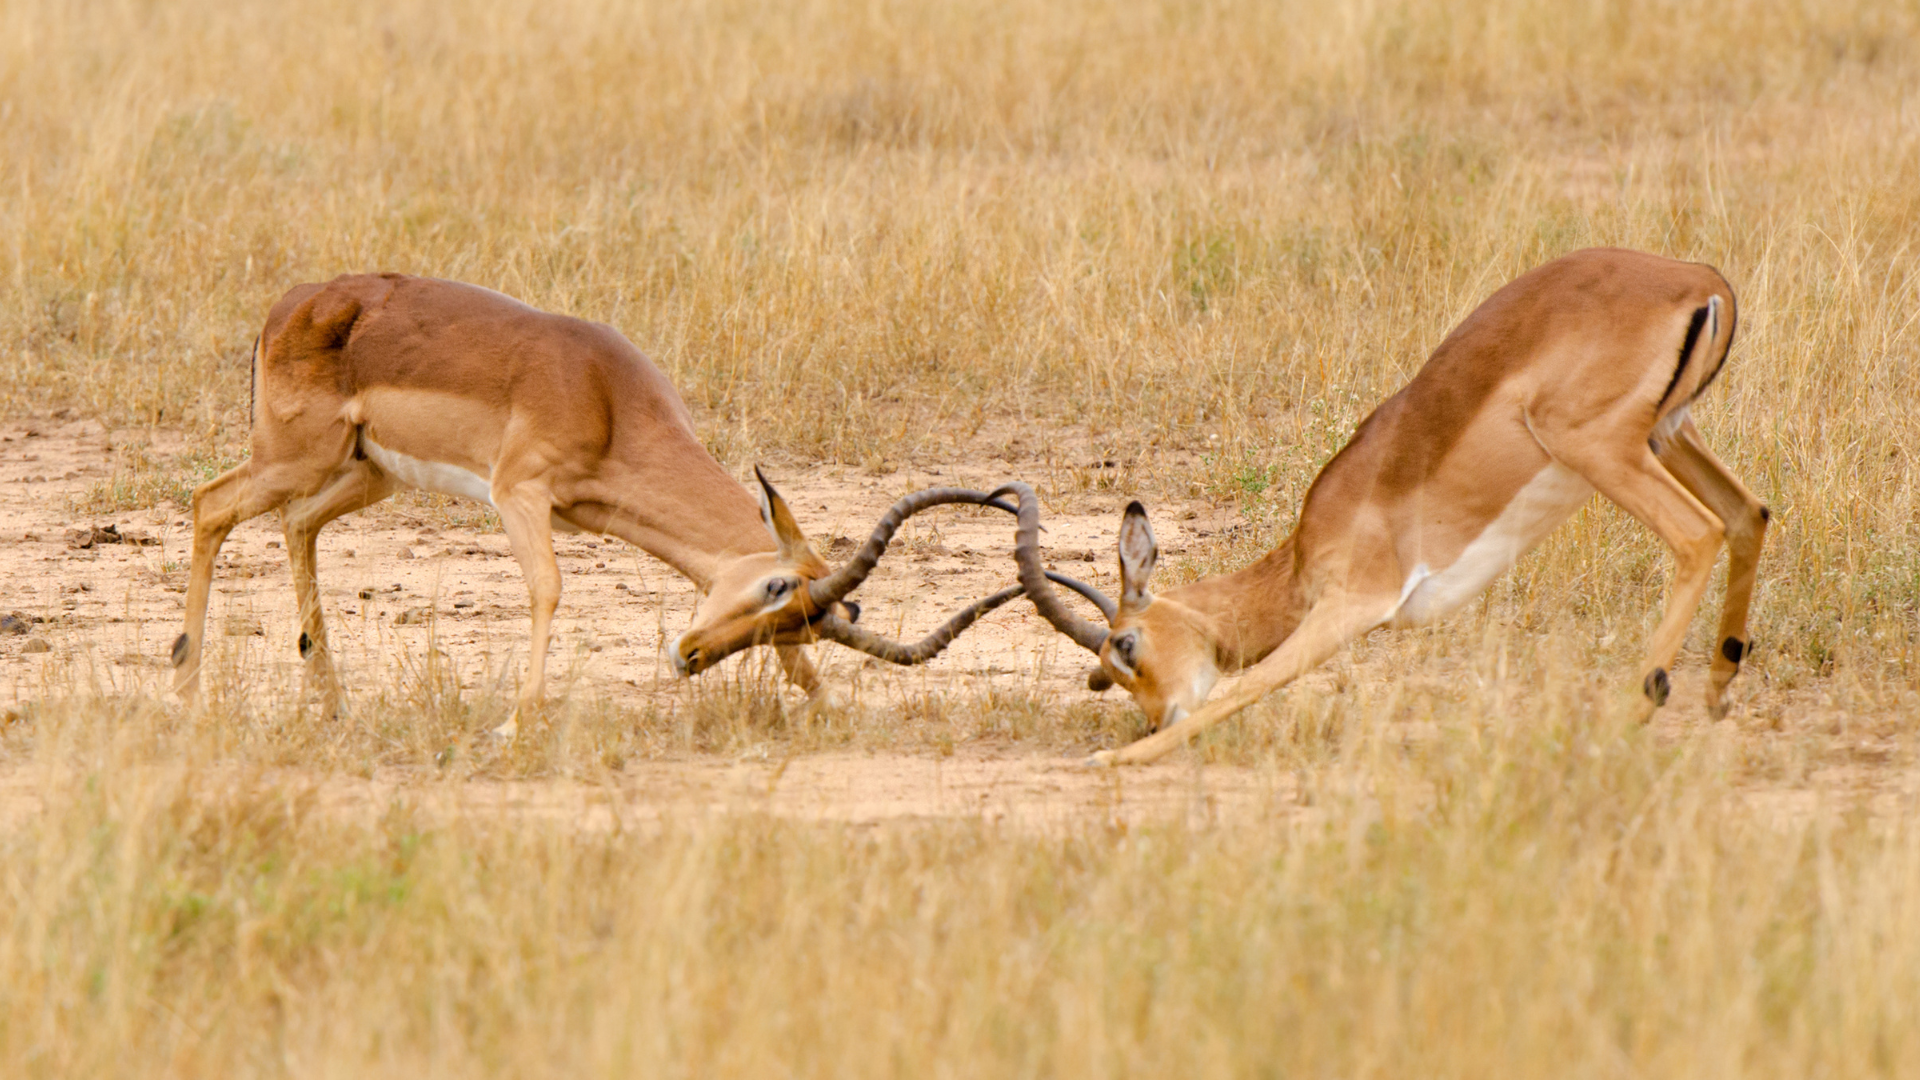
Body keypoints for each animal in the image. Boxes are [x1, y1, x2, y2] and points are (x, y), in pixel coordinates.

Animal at [173, 273, 1029, 734]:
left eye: (795, 624)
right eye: (774, 585)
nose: (689, 657)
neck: (605, 396)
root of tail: (294, 301)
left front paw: (826, 704)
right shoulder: (519, 494)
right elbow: (549, 590)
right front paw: (516, 720)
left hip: (367, 472)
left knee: (294, 523)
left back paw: (330, 698)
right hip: (293, 458)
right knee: (209, 503)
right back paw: (186, 687)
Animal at [1014, 248, 1769, 765]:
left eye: (1126, 647)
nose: (1155, 720)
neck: (1302, 558)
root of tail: (1700, 280)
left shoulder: (1352, 603)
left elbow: (1249, 685)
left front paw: (1111, 759)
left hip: (1604, 449)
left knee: (1698, 533)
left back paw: (1635, 707)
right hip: (1667, 435)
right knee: (1749, 512)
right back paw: (1718, 688)